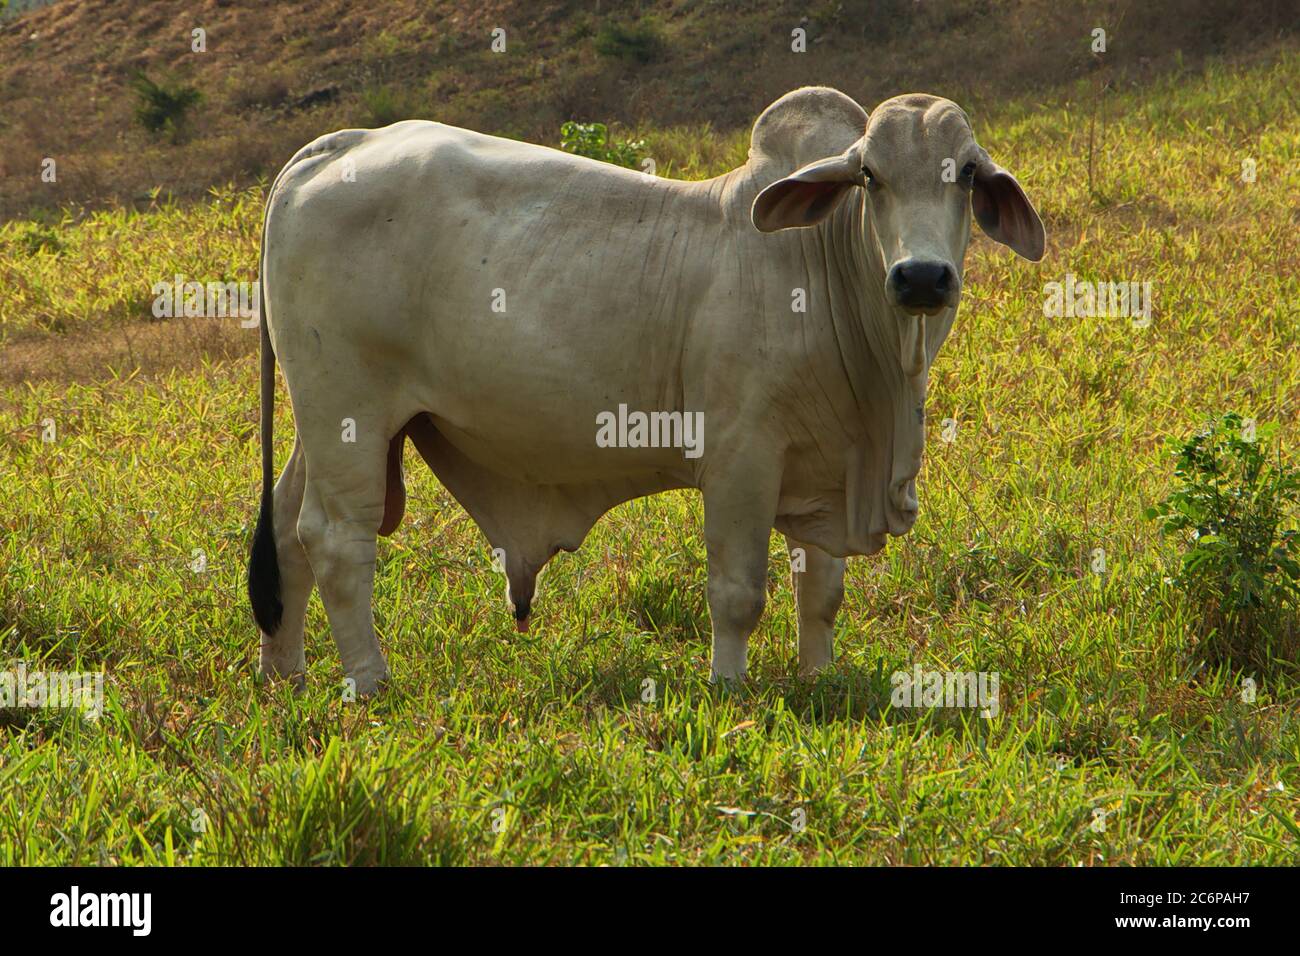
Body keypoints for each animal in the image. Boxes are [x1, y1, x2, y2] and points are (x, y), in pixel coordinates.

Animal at [247, 87, 1045, 695]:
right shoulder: (740, 459)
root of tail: (333, 148)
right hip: (347, 411)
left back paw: (287, 678)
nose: (921, 277)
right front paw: (730, 687)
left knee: (288, 528)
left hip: (334, 423)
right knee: (337, 539)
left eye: (966, 174)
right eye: (871, 177)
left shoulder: (826, 466)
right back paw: (369, 682)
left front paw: (819, 680)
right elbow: (738, 592)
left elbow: (820, 594)